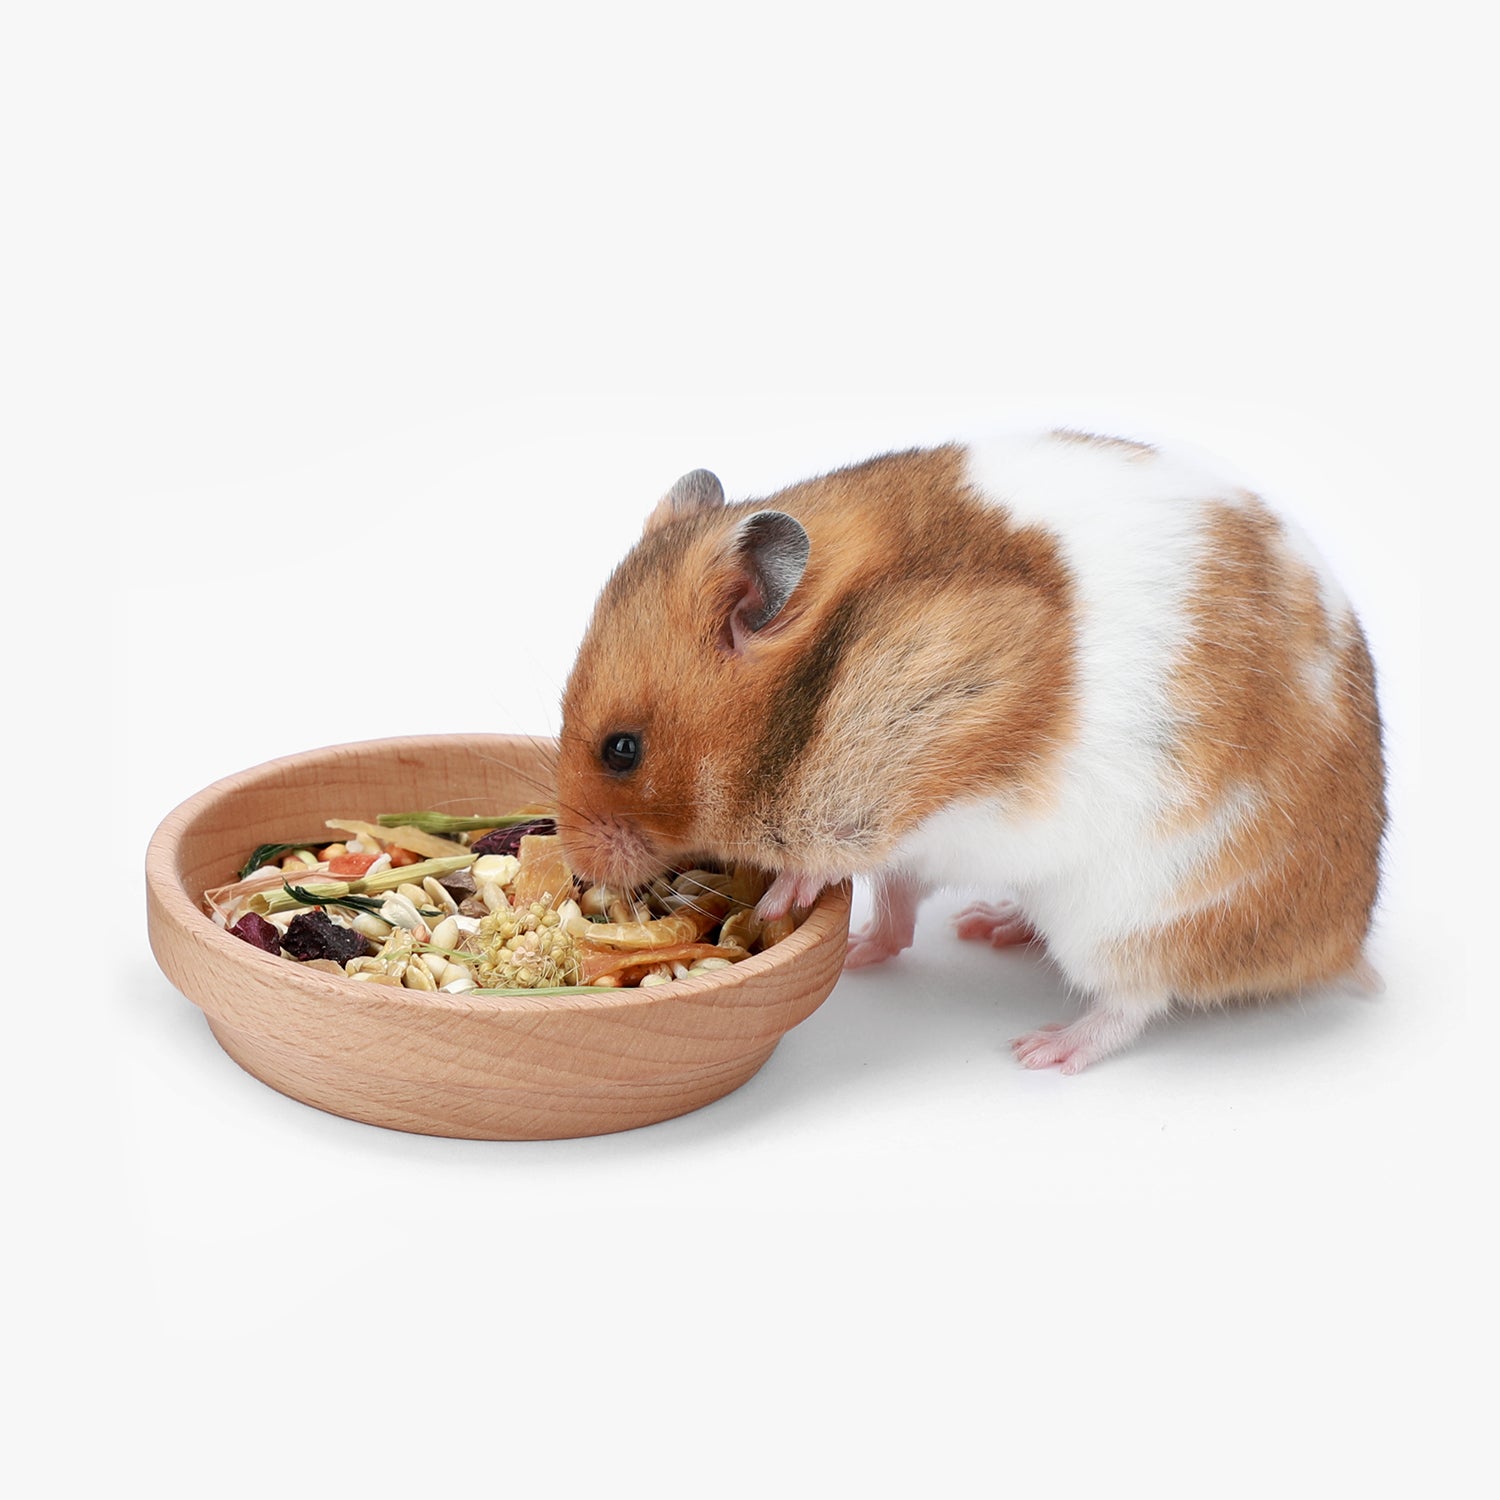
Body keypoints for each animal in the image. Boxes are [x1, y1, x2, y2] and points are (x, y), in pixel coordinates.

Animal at [553, 428, 1387, 1072]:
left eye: (623, 749)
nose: (576, 866)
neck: (808, 709)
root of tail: (1339, 944)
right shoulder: (916, 833)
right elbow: (890, 884)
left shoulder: (948, 759)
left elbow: (833, 863)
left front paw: (781, 897)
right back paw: (977, 927)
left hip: (1140, 916)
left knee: (1131, 1002)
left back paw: (1044, 1050)